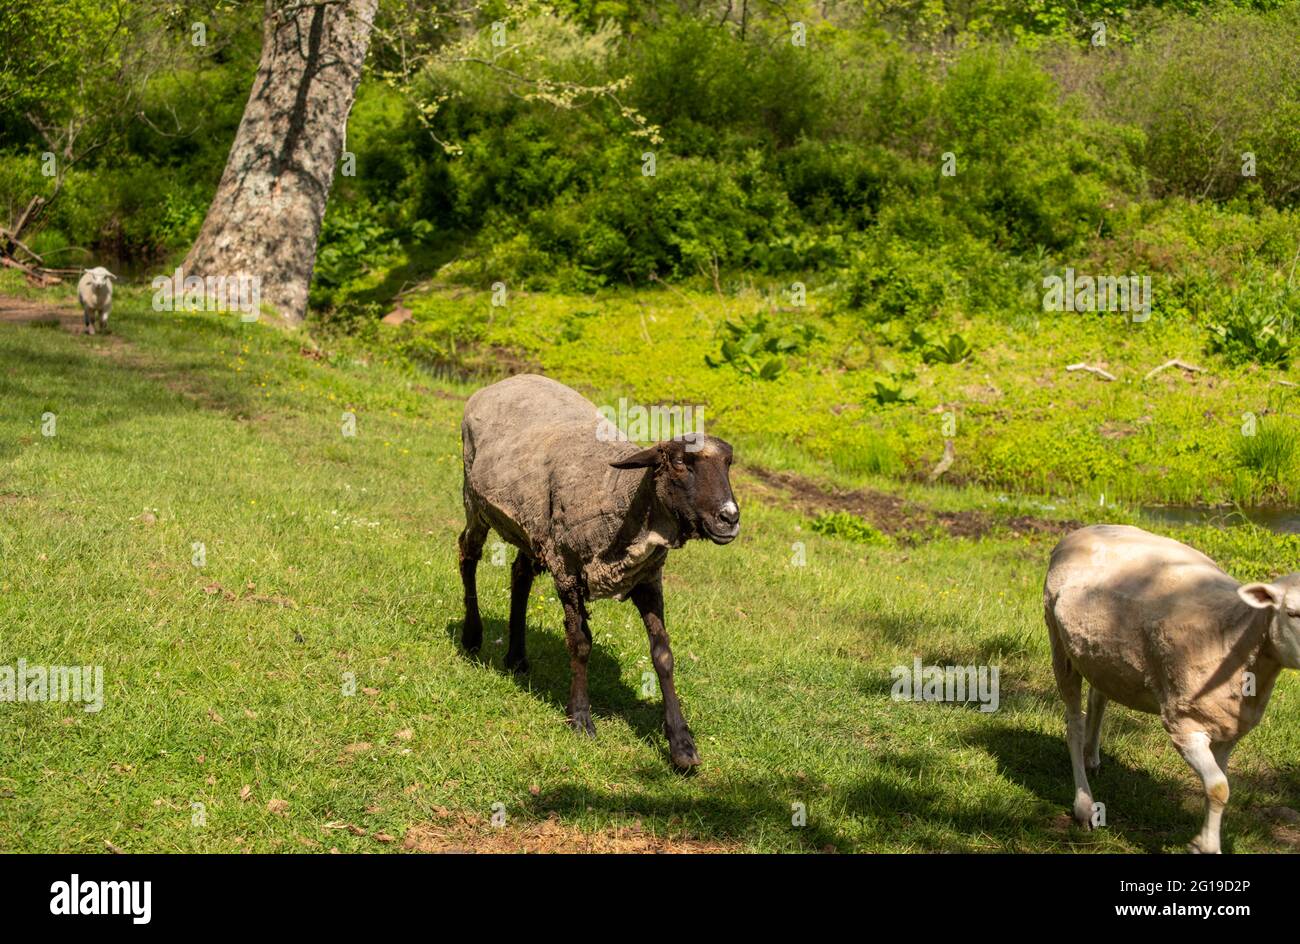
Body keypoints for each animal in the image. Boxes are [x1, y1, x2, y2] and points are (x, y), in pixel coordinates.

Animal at [458, 374, 740, 768]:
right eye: (680, 464)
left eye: (728, 466)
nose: (730, 518)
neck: (620, 496)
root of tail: (509, 380)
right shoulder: (567, 571)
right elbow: (580, 644)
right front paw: (580, 718)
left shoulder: (647, 579)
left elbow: (663, 655)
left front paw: (682, 745)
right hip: (476, 501)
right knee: (467, 553)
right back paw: (472, 636)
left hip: (534, 529)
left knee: (520, 574)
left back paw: (516, 656)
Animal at [1044, 523, 1300, 852]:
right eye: (1292, 613)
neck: (1233, 633)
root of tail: (1085, 530)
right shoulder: (1184, 725)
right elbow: (1219, 787)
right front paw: (1206, 845)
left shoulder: (1227, 729)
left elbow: (1220, 787)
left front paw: (1204, 841)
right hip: (1059, 643)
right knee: (1073, 724)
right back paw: (1085, 804)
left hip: (1100, 654)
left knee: (1099, 696)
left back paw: (1092, 757)